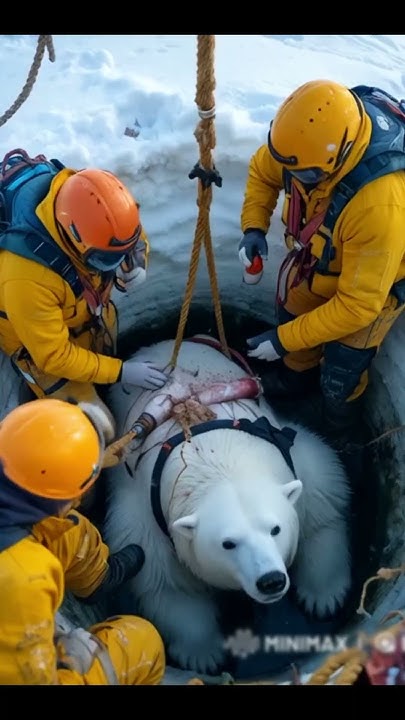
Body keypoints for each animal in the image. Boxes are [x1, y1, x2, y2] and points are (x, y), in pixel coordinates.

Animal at [99, 336, 352, 675]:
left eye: (275, 529)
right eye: (228, 543)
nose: (270, 581)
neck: (214, 452)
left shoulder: (292, 459)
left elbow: (323, 506)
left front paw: (324, 596)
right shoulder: (150, 523)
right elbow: (167, 584)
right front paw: (203, 654)